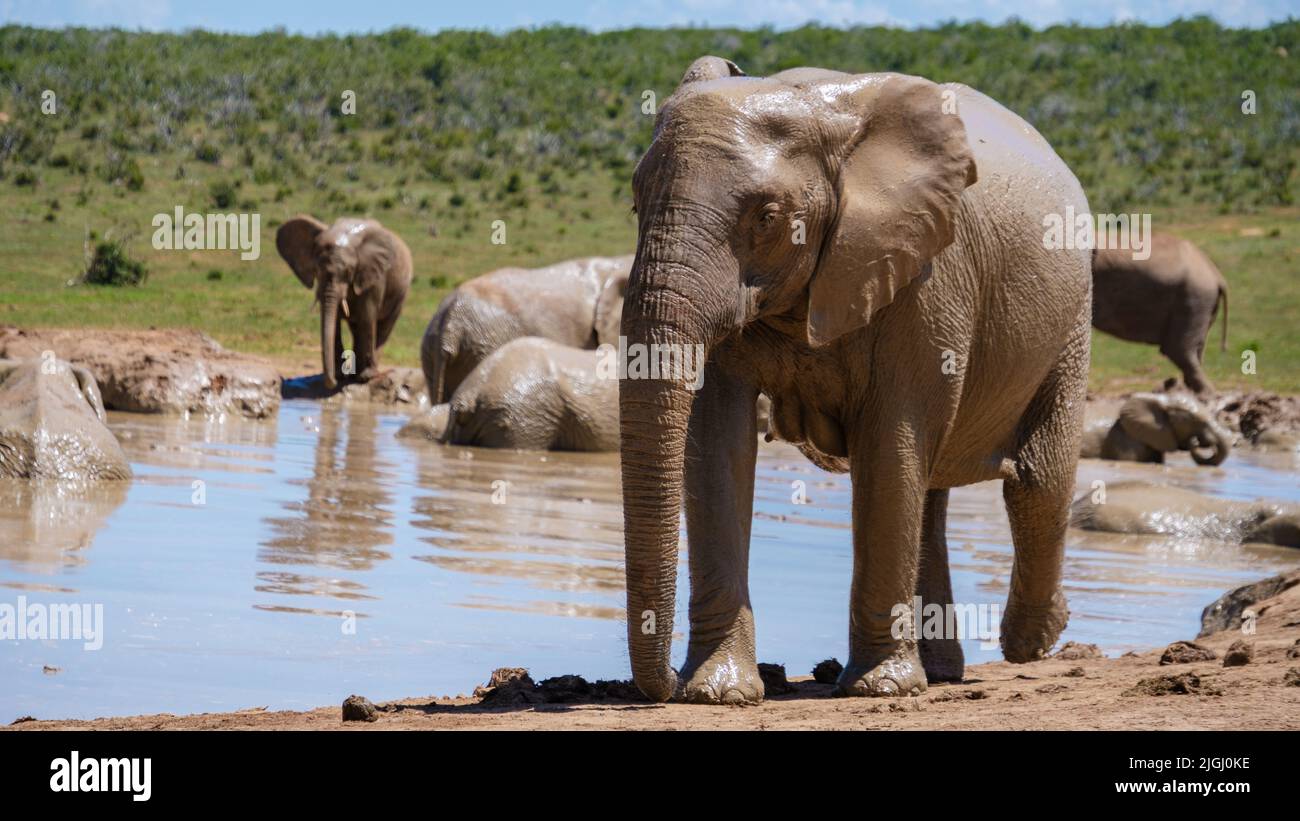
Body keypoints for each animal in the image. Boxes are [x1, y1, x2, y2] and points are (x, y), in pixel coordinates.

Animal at [276, 215, 413, 391]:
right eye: (316, 269)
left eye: (348, 272)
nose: (332, 382)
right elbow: (334, 321)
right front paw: (339, 375)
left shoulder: (373, 277)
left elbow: (367, 318)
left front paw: (363, 378)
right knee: (356, 329)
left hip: (401, 292)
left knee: (384, 325)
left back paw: (367, 374)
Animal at [618, 57, 1092, 704]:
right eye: (635, 203)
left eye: (767, 218)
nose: (659, 683)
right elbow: (716, 442)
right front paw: (717, 693)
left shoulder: (926, 274)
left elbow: (890, 443)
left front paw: (879, 689)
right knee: (933, 490)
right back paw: (944, 672)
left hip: (1073, 312)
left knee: (1037, 481)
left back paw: (1029, 642)